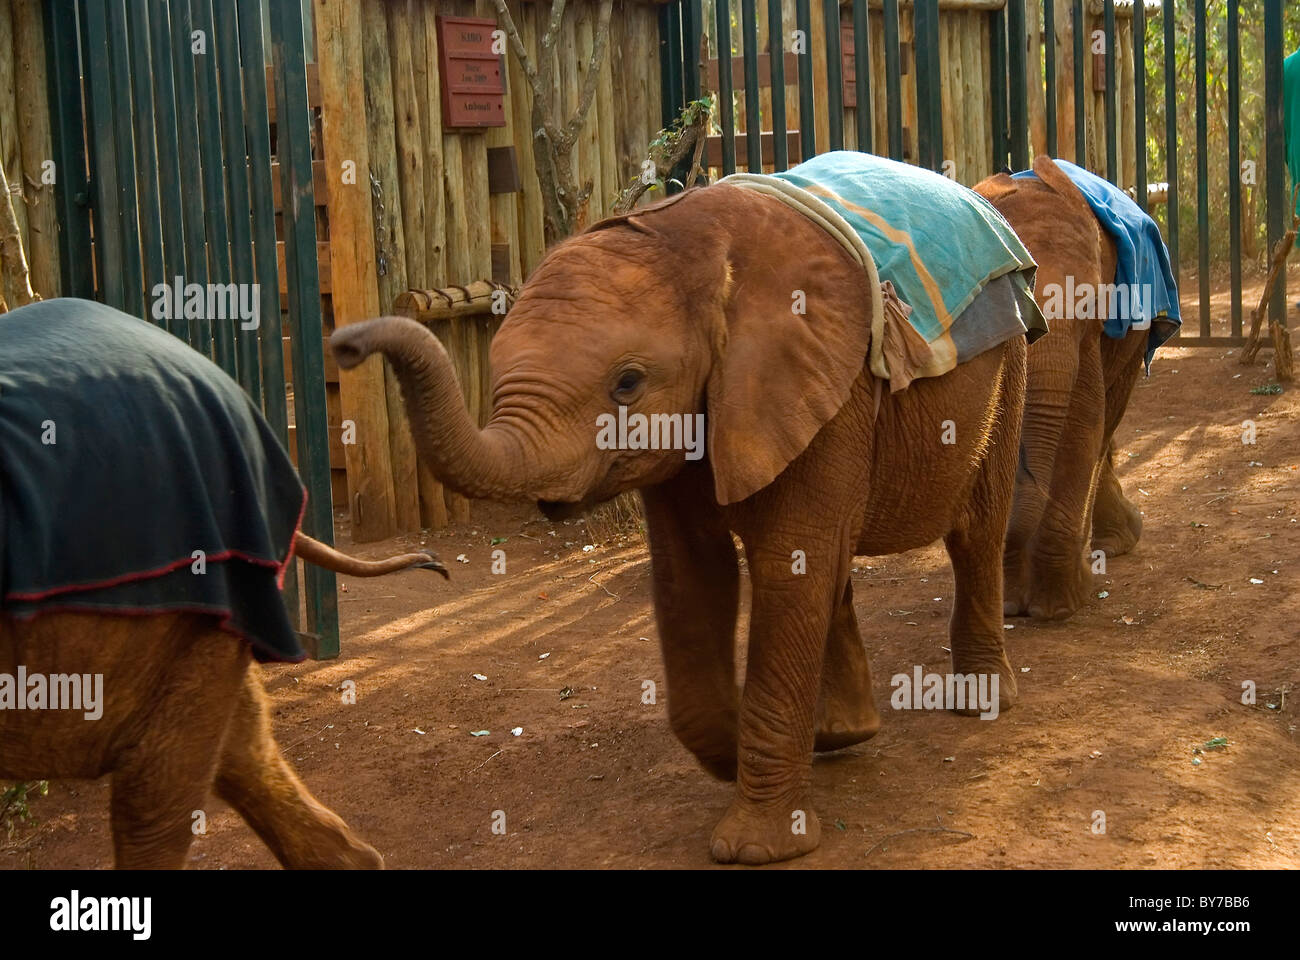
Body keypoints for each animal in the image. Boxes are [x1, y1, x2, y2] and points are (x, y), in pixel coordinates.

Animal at [331, 178, 1029, 864]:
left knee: (975, 530)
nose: (345, 344)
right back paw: (841, 735)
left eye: (628, 384)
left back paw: (980, 704)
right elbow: (693, 569)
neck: (687, 242)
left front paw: (756, 847)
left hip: (1012, 360)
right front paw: (734, 756)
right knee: (838, 565)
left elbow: (789, 566)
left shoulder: (825, 383)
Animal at [974, 157, 1148, 620]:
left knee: (1106, 425)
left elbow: (1083, 421)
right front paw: (1011, 603)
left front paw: (1055, 608)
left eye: (1090, 302)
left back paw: (1112, 544)